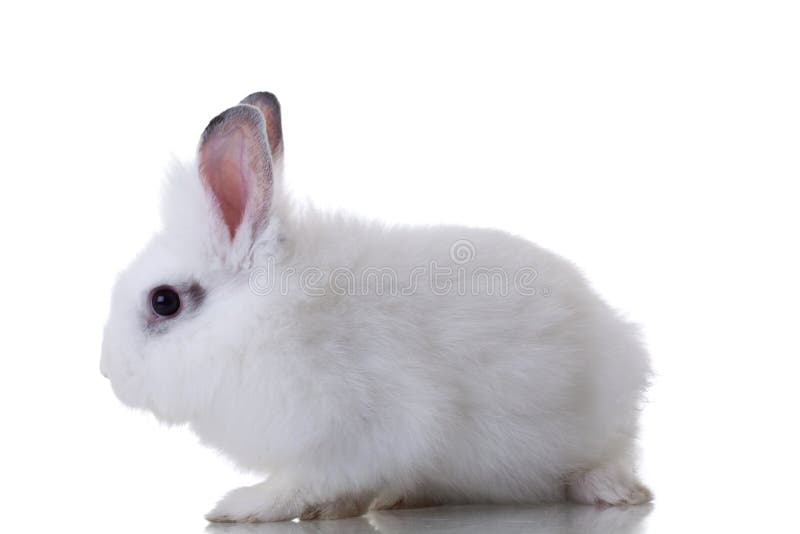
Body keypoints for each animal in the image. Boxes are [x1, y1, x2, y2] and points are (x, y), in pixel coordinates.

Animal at [101, 91, 652, 523]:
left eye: (164, 302)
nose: (107, 371)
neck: (264, 321)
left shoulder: (355, 431)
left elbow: (303, 482)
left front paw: (244, 506)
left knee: (606, 459)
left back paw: (613, 491)